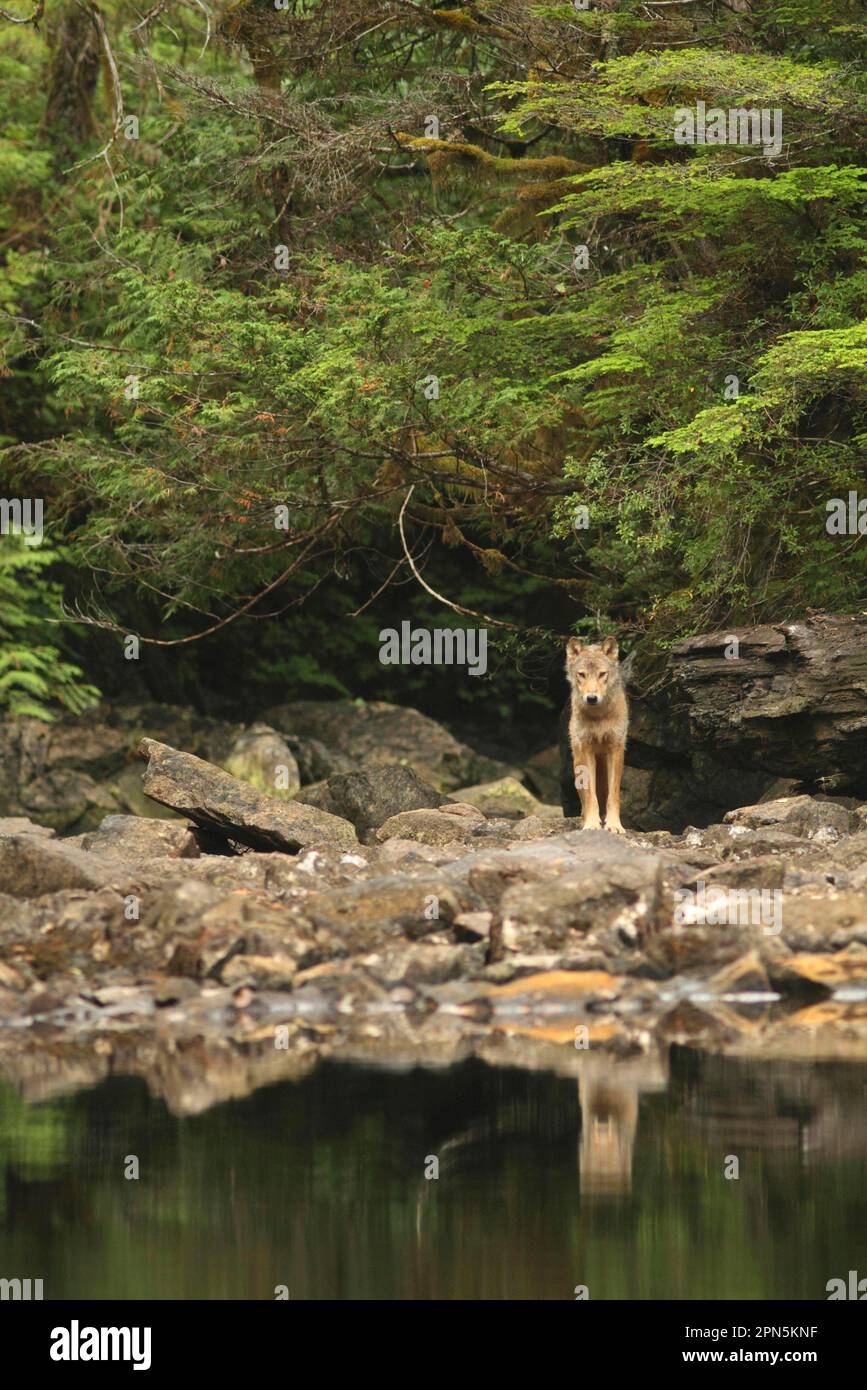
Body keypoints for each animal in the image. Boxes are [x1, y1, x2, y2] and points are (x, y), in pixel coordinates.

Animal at [560, 636, 629, 833]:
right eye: (582, 674)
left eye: (602, 674)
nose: (591, 698)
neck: (599, 716)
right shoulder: (586, 751)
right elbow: (591, 797)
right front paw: (591, 824)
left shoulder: (616, 749)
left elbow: (614, 796)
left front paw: (614, 825)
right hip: (576, 766)